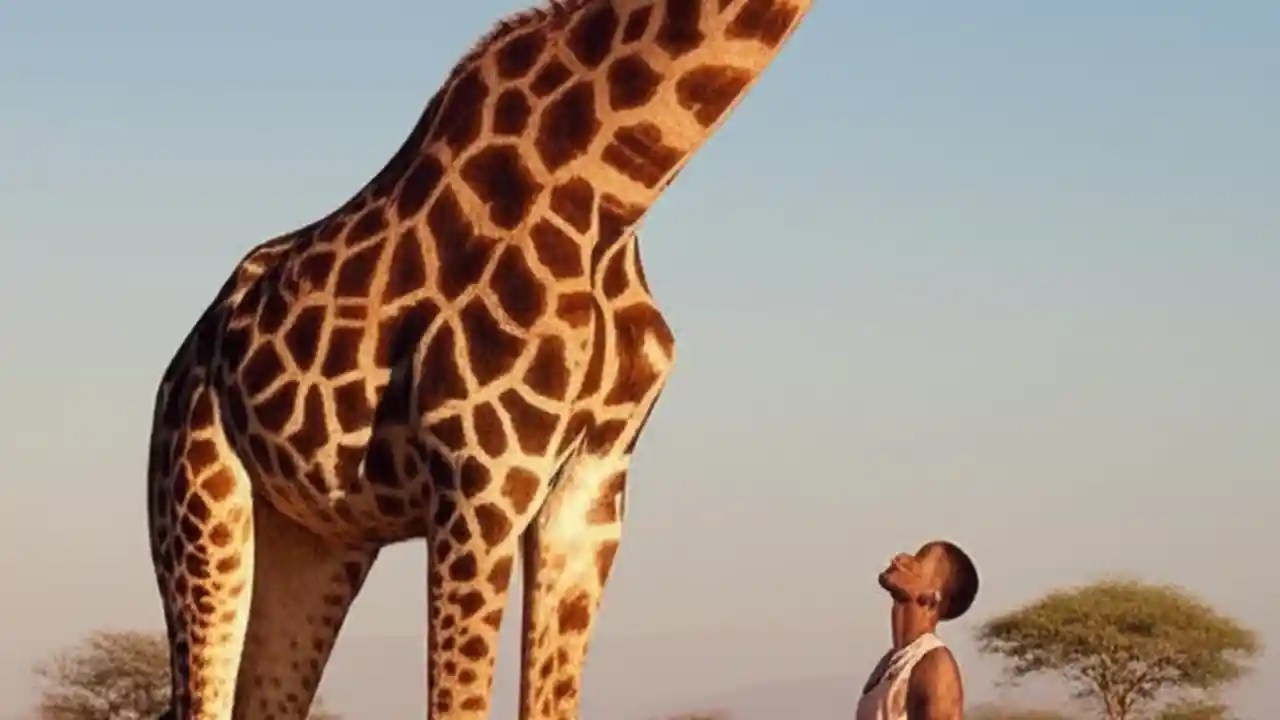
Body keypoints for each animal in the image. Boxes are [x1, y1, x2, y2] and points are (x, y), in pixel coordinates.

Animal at [146, 1, 814, 718]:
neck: (614, 187)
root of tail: (178, 368)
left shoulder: (592, 488)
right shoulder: (480, 482)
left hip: (314, 539)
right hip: (198, 499)